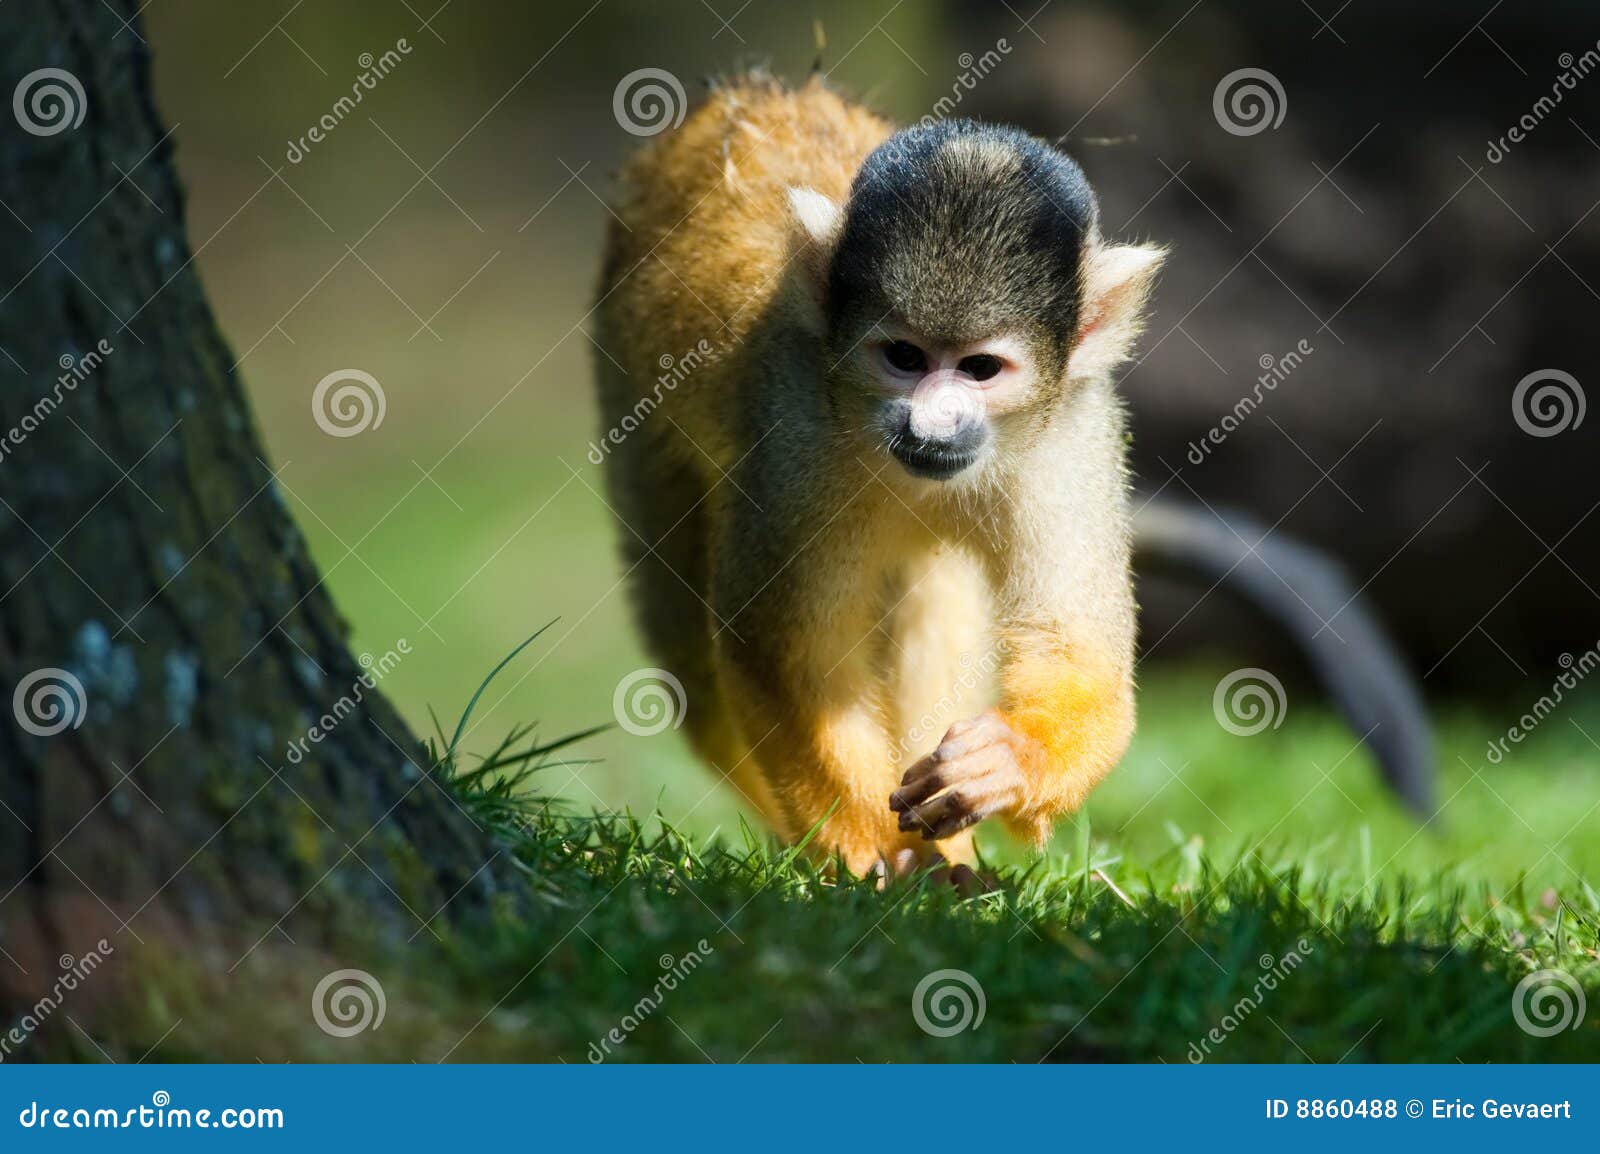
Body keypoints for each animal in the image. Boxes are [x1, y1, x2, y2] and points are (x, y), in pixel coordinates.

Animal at [593, 74, 1432, 877]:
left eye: (980, 369)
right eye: (904, 357)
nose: (932, 423)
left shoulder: (1076, 429)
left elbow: (1077, 652)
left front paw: (1009, 764)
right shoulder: (793, 418)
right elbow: (786, 653)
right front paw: (872, 850)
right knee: (692, 650)